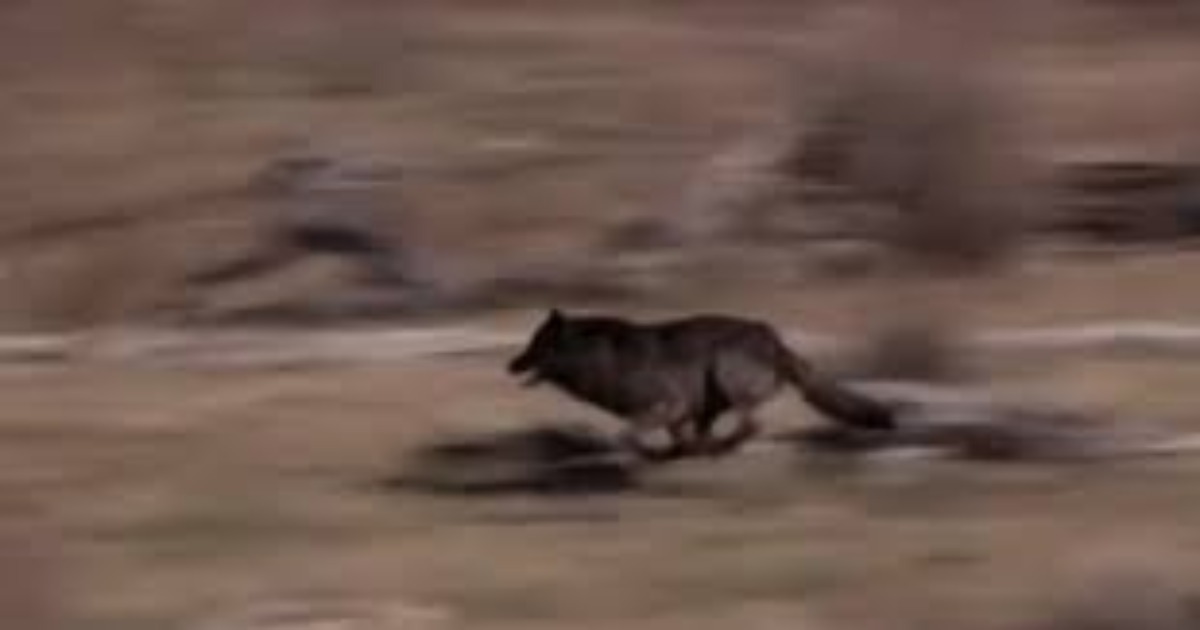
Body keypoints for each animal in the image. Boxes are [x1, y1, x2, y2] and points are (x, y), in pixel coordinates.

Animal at [507, 309, 895, 459]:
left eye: (535, 346)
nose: (509, 365)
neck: (600, 356)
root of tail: (773, 338)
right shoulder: (679, 414)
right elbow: (671, 438)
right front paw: (674, 452)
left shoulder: (668, 406)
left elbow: (626, 435)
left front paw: (651, 453)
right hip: (711, 400)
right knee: (724, 429)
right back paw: (708, 447)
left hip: (724, 373)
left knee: (751, 424)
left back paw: (721, 446)